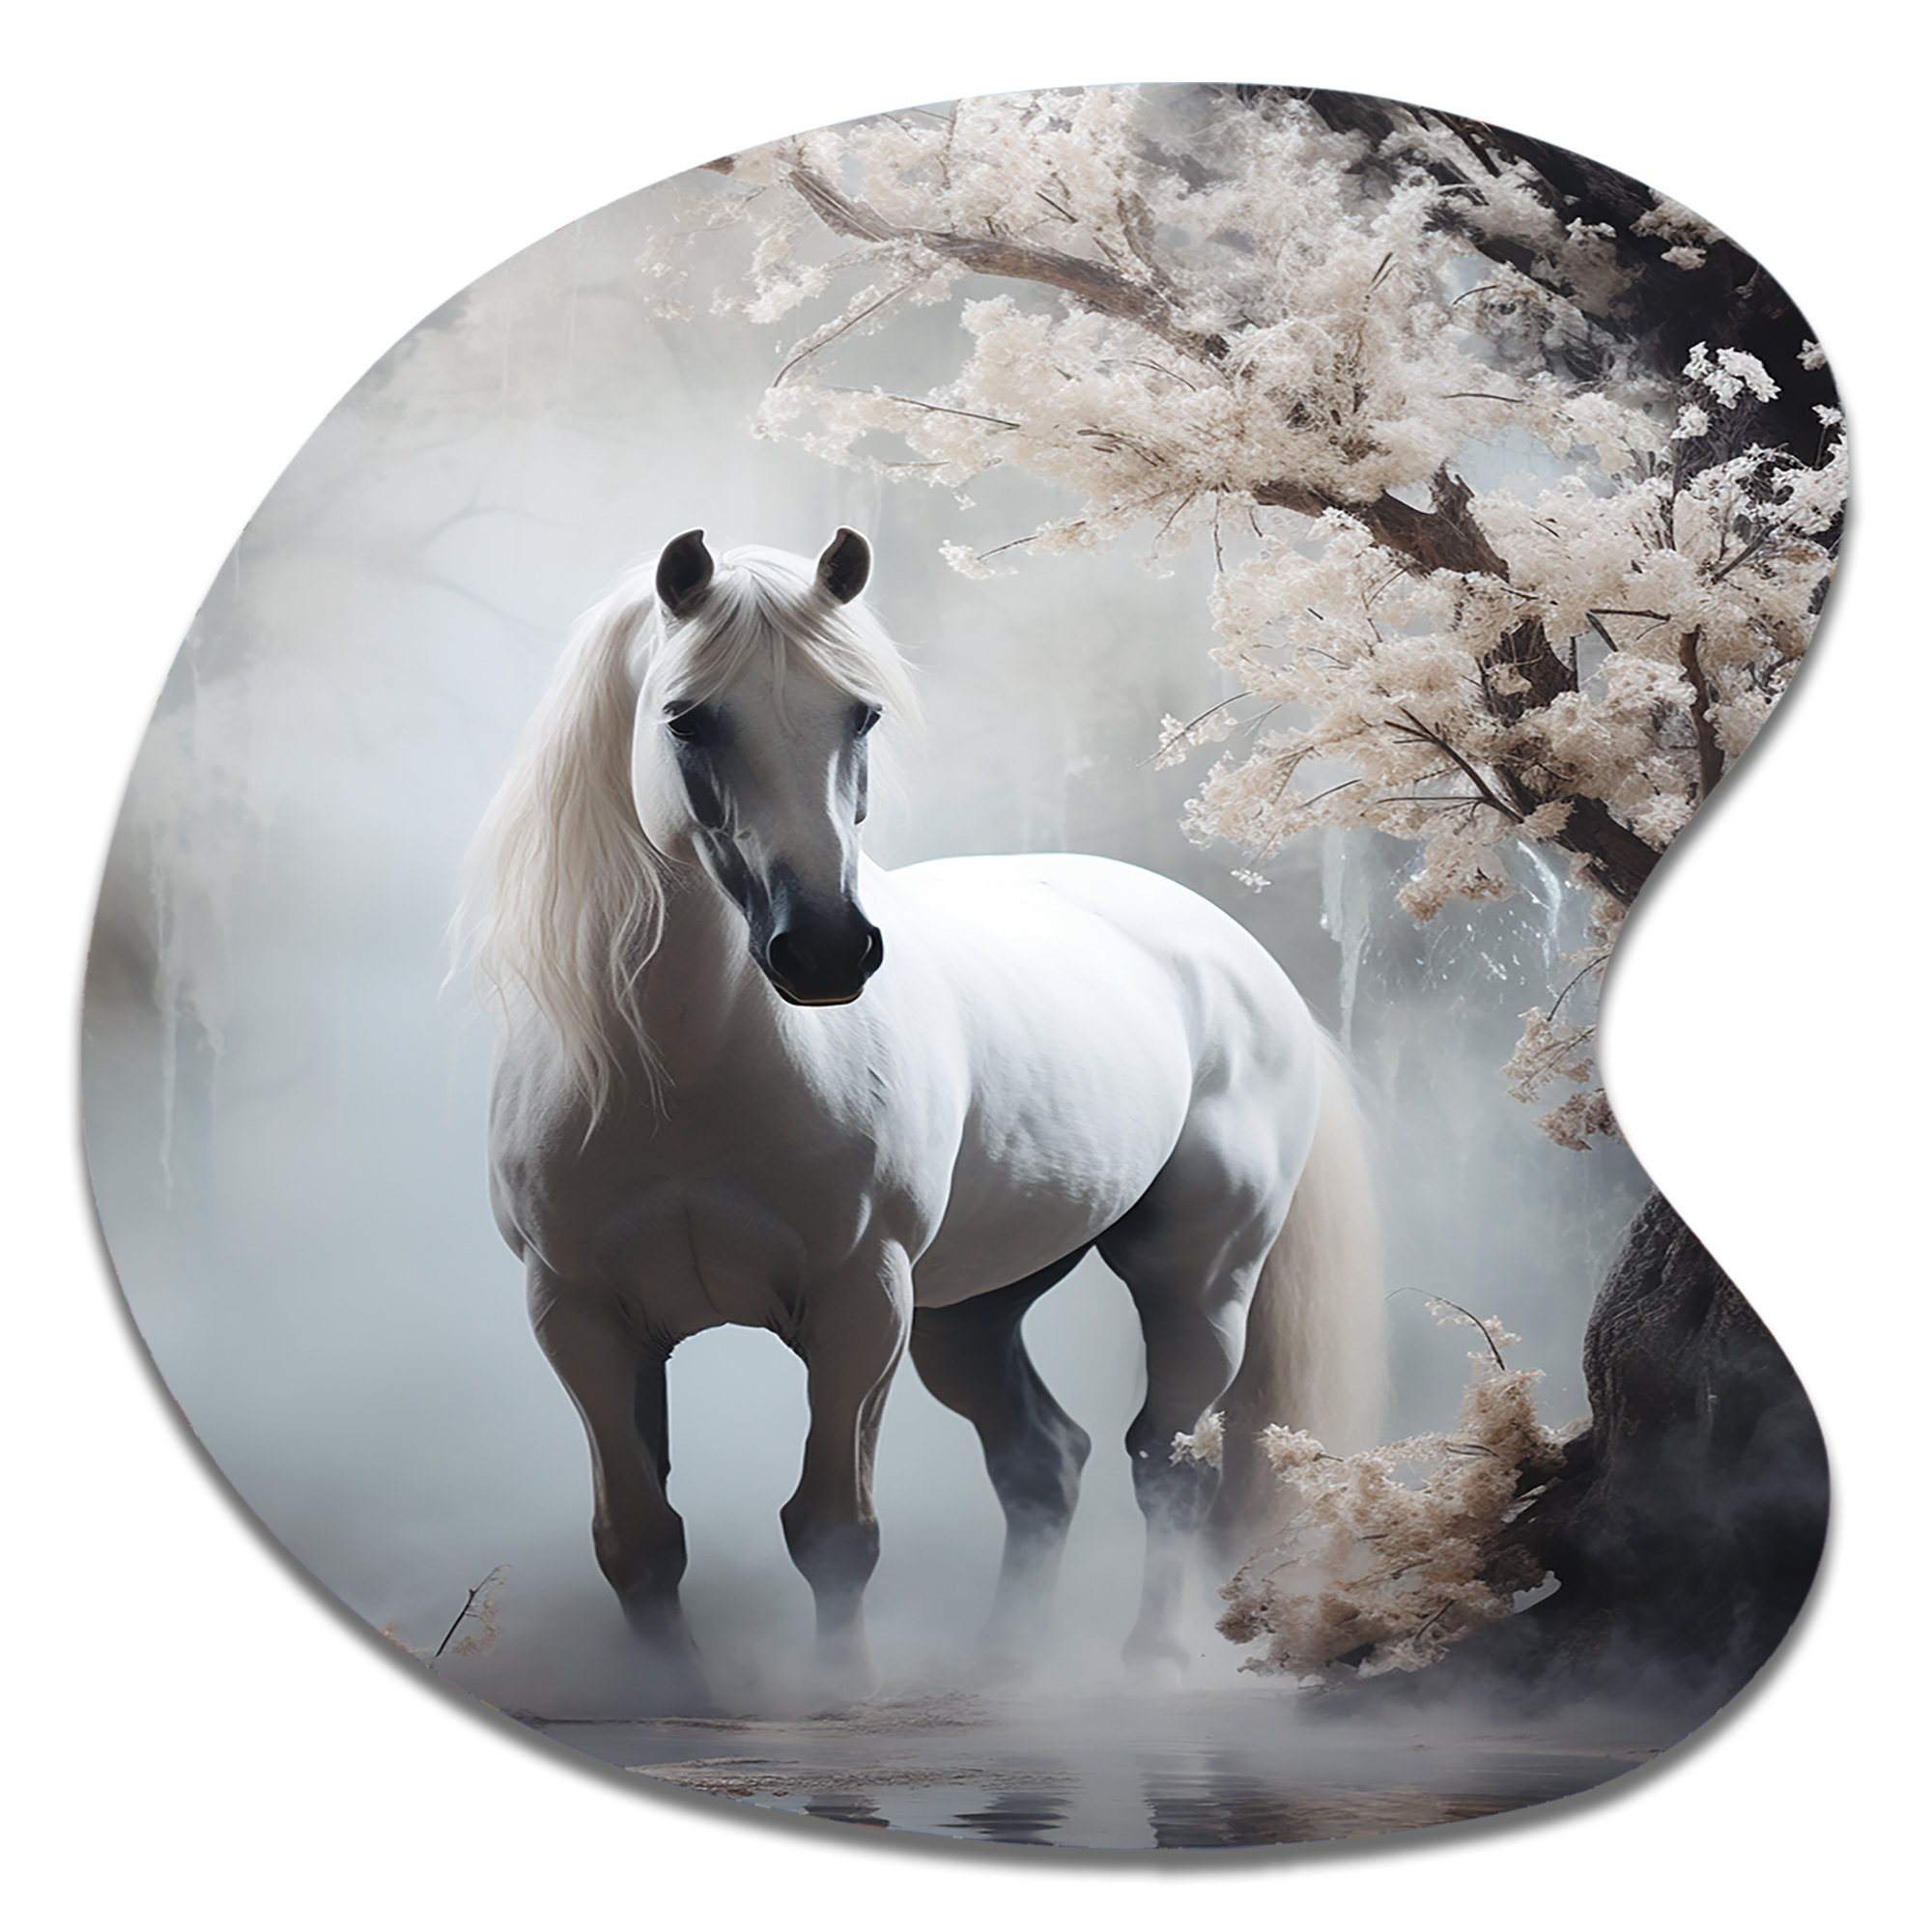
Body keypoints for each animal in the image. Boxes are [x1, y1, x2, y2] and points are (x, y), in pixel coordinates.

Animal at [464, 528, 1383, 1704]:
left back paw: (1149, 1663)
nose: (824, 950)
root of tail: (1233, 953)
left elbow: (831, 1529)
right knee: (1045, 1458)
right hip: (970, 1309)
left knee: (1164, 1460)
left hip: (1195, 1280)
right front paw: (679, 1697)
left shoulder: (860, 1305)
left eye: (859, 713)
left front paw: (838, 1696)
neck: (686, 1073)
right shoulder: (580, 1317)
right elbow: (638, 1538)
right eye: (687, 718)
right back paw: (1002, 1667)